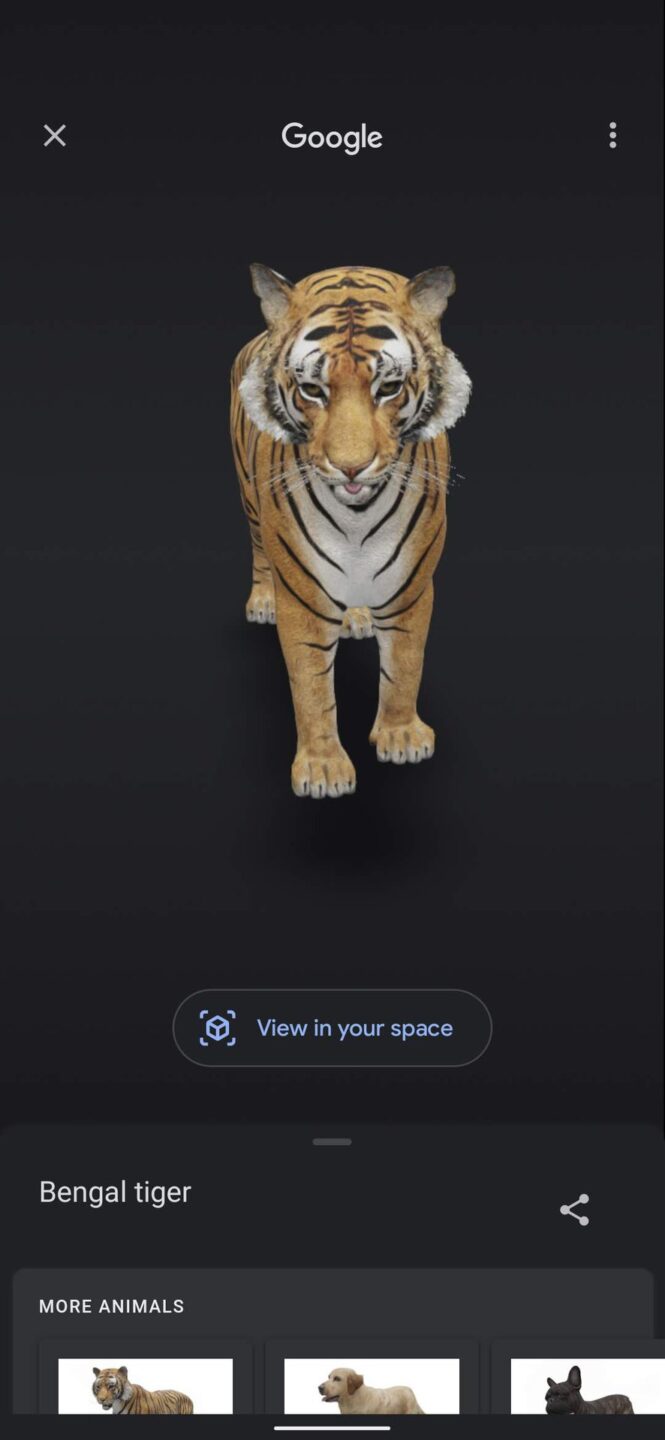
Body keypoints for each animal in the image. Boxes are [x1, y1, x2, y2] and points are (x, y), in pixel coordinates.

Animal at [230, 263, 471, 798]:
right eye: (312, 390)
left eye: (388, 388)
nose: (351, 468)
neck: (356, 519)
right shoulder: (300, 596)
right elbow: (310, 684)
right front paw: (323, 768)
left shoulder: (412, 582)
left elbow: (405, 663)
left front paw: (401, 737)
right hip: (249, 499)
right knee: (256, 548)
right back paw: (261, 603)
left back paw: (357, 617)